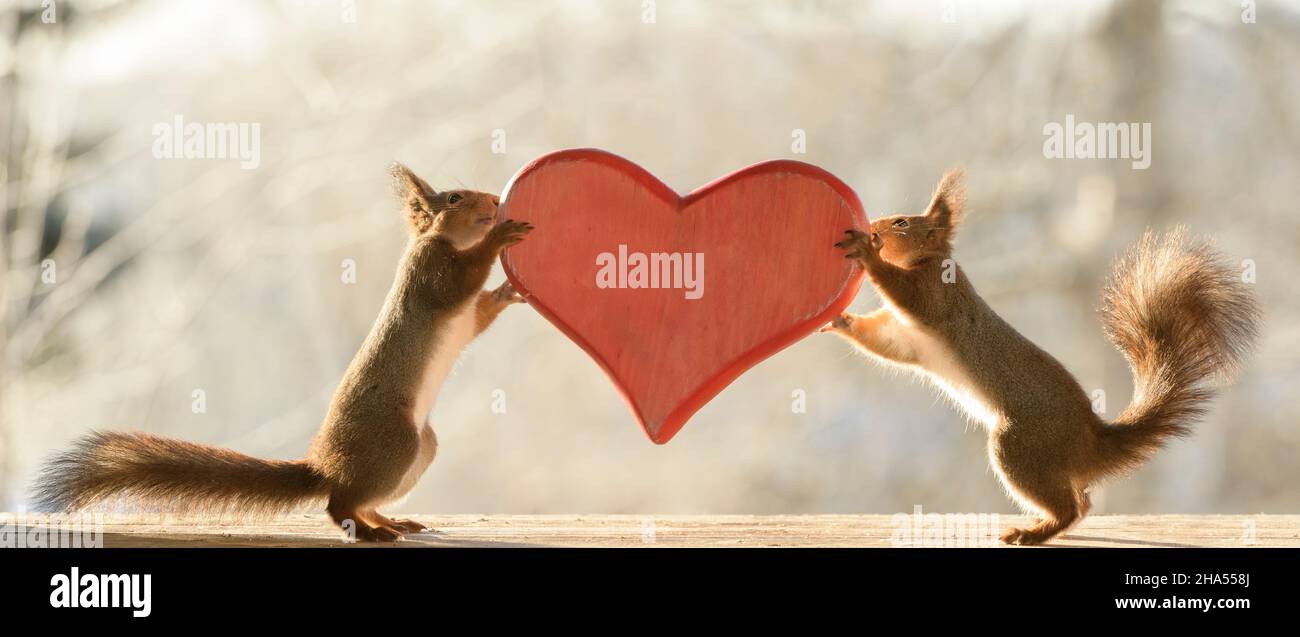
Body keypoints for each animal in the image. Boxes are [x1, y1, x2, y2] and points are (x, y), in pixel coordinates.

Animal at [31, 163, 533, 542]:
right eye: (454, 198)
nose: (494, 201)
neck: (438, 242)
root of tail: (326, 466)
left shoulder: (464, 316)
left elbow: (479, 313)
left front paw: (508, 291)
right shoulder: (430, 278)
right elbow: (462, 279)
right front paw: (500, 237)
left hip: (420, 449)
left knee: (362, 501)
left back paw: (387, 521)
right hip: (395, 442)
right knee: (338, 504)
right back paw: (369, 530)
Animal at [825, 170, 1260, 545]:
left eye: (901, 222)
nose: (873, 227)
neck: (929, 260)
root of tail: (1090, 441)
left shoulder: (935, 293)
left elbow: (902, 289)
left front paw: (867, 254)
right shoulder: (907, 338)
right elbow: (883, 341)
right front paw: (840, 320)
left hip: (1020, 446)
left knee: (1073, 506)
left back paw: (1033, 533)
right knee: (1081, 501)